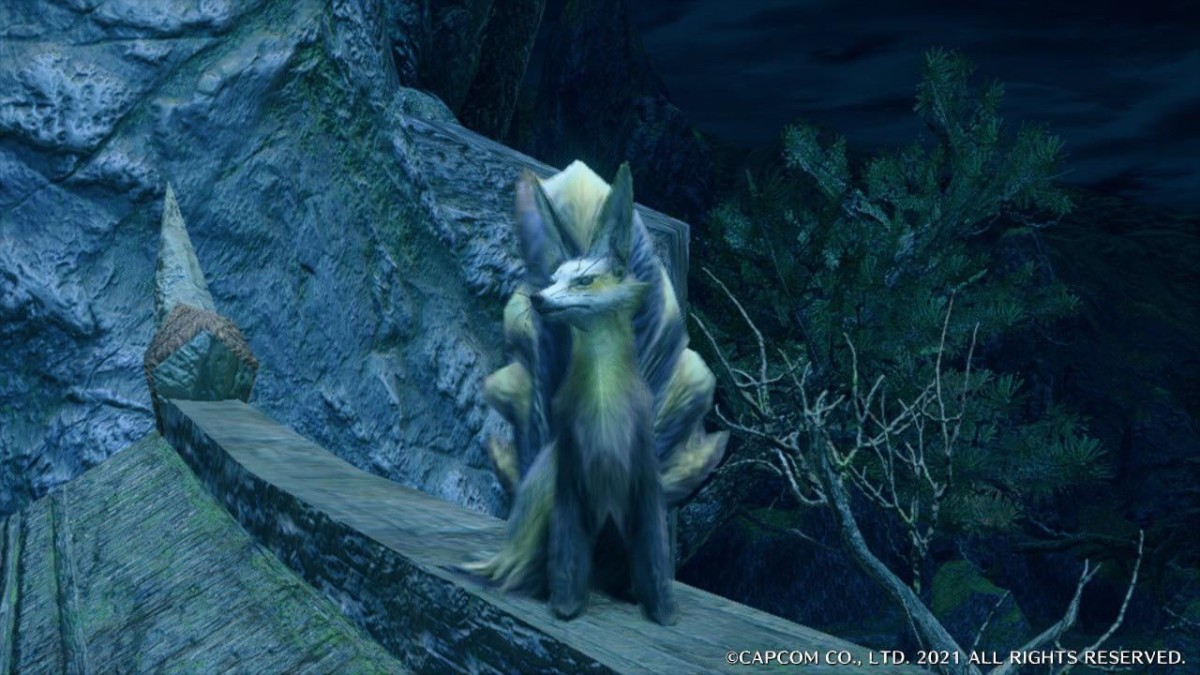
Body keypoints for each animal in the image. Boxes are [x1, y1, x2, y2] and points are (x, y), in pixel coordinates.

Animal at [463, 160, 728, 625]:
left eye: (584, 281)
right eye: (554, 278)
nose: (539, 298)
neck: (605, 415)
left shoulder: (645, 490)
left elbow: (655, 566)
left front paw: (663, 616)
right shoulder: (570, 491)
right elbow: (567, 563)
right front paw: (566, 609)